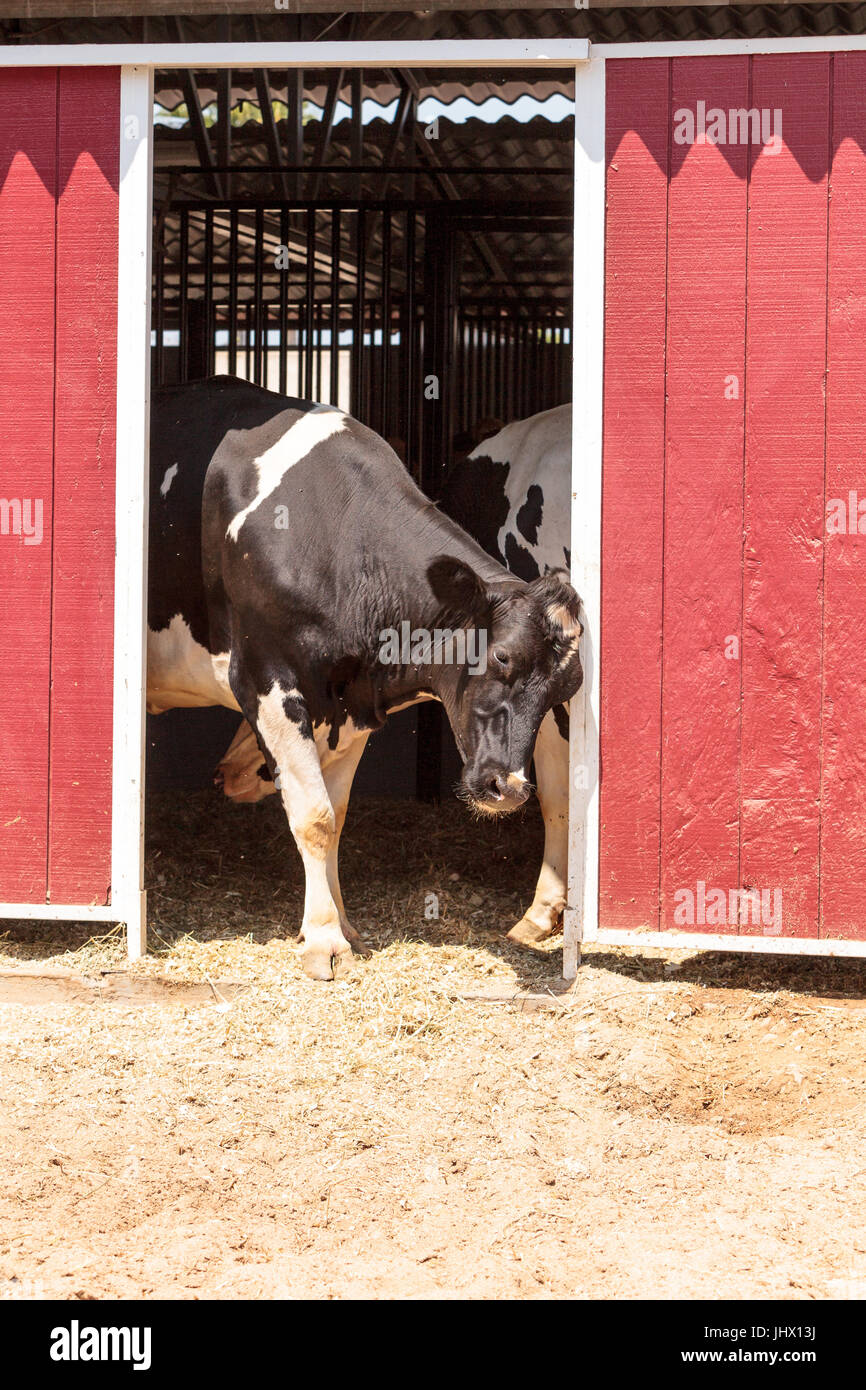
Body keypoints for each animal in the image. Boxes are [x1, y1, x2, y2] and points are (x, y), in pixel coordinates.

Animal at [147, 378, 583, 979]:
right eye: (500, 657)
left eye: (569, 688)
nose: (508, 787)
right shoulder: (265, 680)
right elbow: (313, 816)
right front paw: (324, 939)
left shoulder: (351, 706)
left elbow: (337, 814)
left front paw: (340, 923)